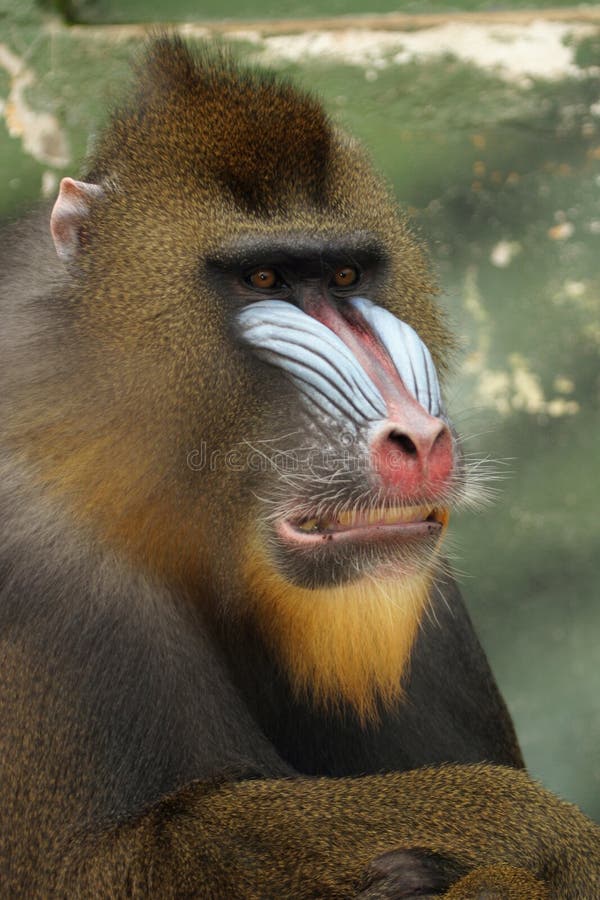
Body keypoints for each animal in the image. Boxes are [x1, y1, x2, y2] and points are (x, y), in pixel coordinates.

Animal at [0, 36, 598, 897]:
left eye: (347, 277)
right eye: (263, 279)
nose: (419, 440)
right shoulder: (43, 556)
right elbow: (118, 856)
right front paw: (541, 832)